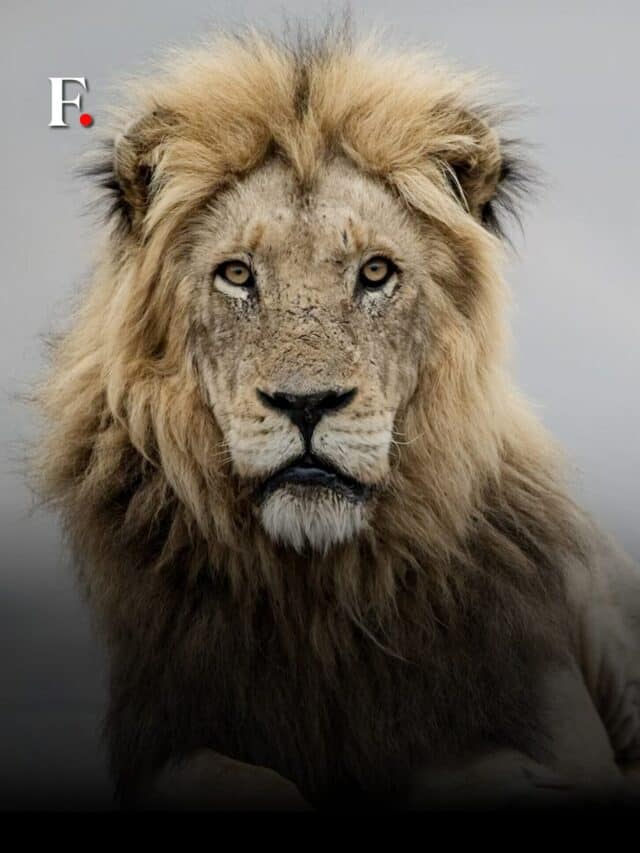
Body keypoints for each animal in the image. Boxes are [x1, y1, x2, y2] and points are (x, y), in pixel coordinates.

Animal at [34, 24, 640, 810]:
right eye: (237, 274)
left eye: (376, 272)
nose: (306, 404)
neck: (319, 595)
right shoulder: (158, 738)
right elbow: (232, 774)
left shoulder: (570, 743)